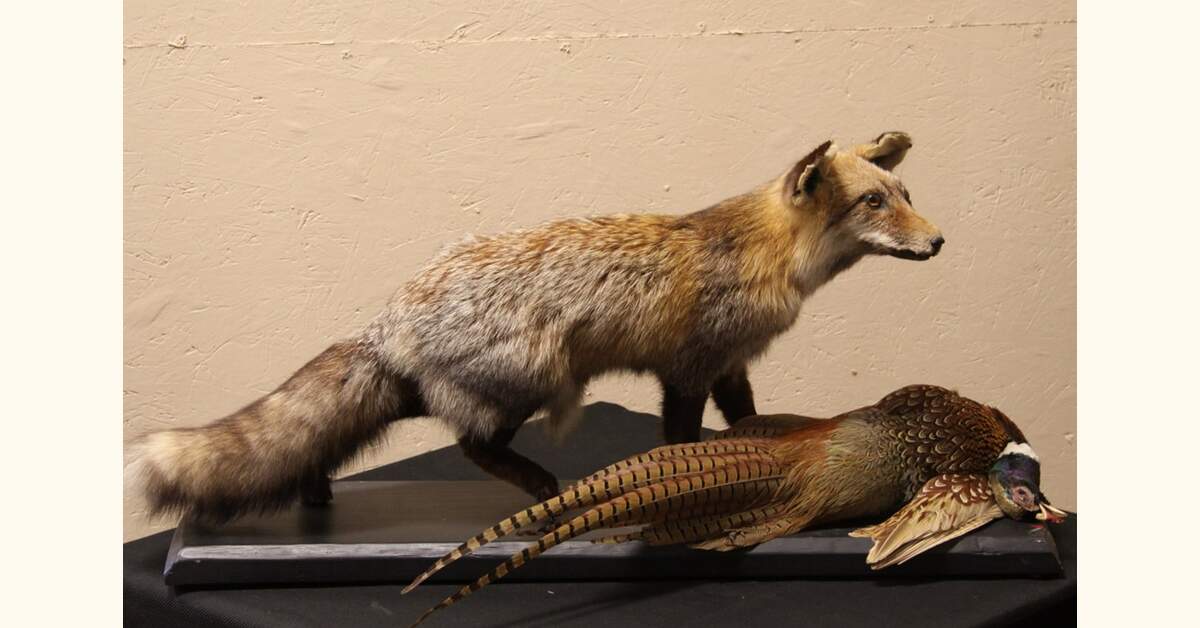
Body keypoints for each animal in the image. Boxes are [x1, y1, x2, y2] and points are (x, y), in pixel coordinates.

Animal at [130, 132, 944, 523]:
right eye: (874, 203)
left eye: (906, 193)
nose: (938, 242)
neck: (761, 253)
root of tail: (390, 316)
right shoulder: (685, 367)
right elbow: (681, 438)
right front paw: (685, 482)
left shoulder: (730, 362)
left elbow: (744, 419)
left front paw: (756, 451)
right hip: (534, 380)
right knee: (470, 445)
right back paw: (542, 485)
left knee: (326, 446)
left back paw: (316, 498)